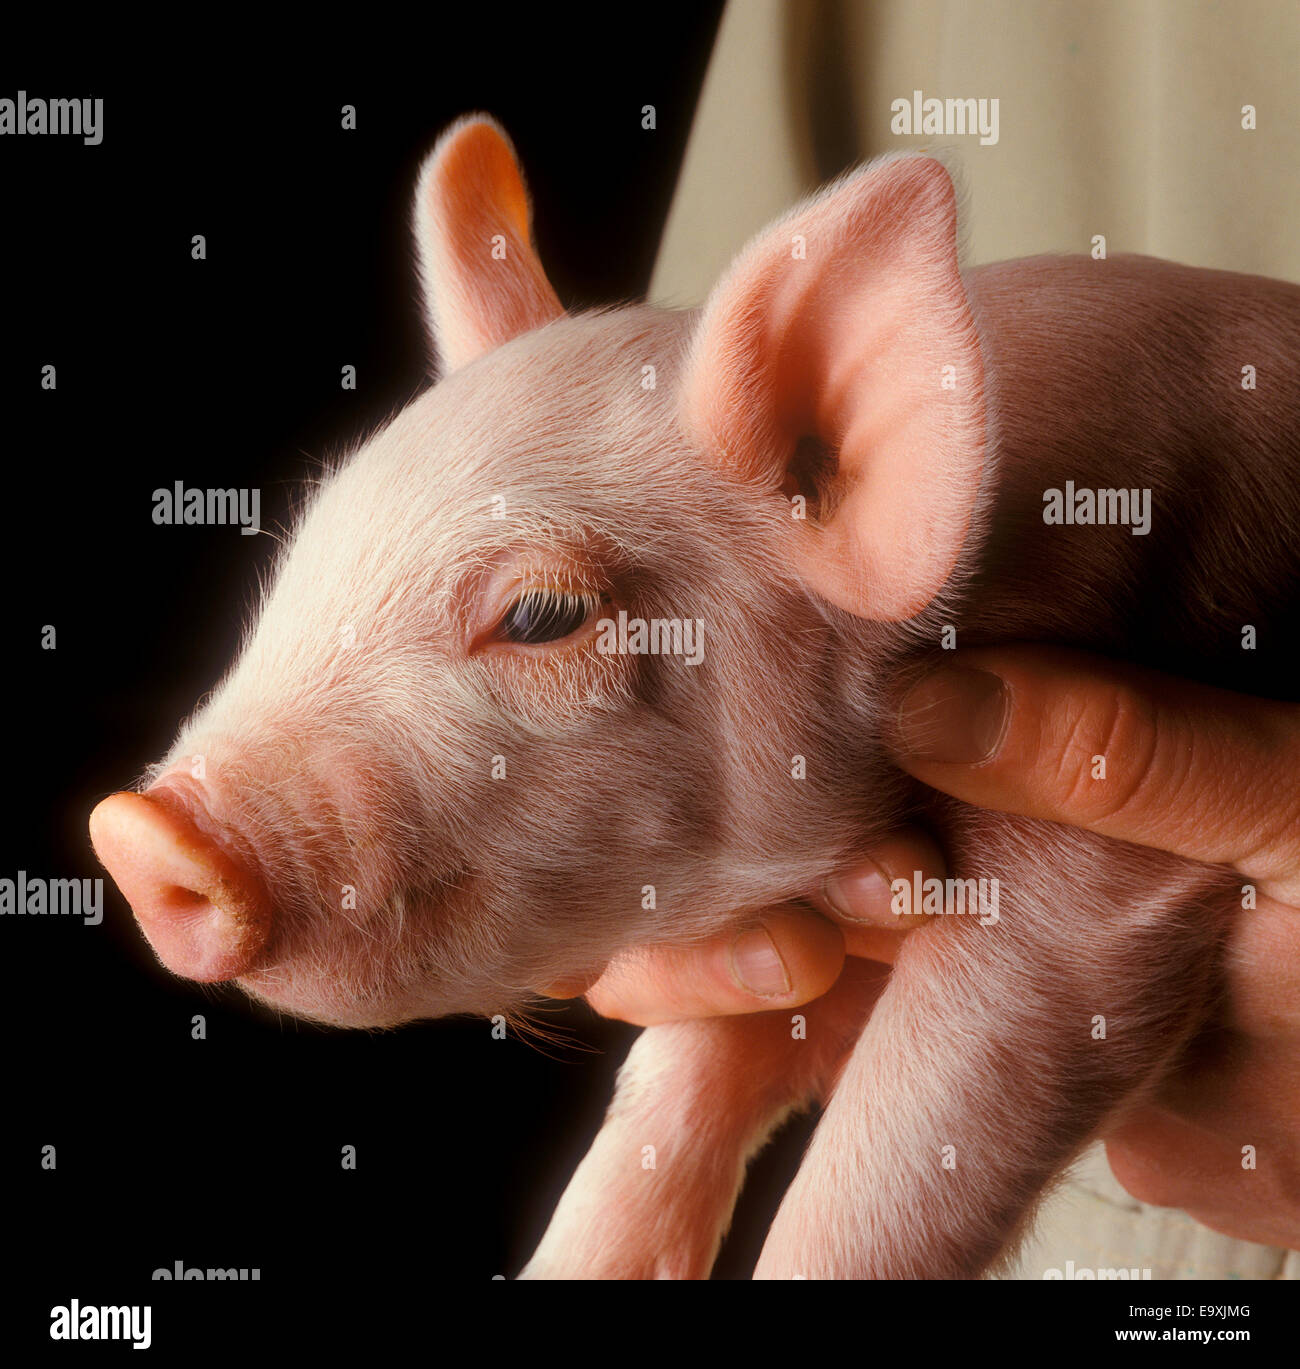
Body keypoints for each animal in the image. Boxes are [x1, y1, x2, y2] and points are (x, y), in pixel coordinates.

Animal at [89, 115, 1300, 1279]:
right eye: (309, 552)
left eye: (542, 615)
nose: (135, 833)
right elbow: (673, 1092)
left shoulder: (1097, 874)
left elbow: (907, 1142)